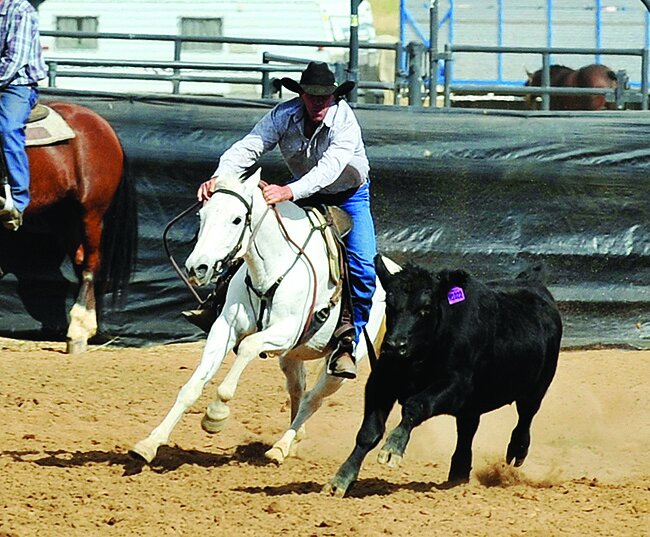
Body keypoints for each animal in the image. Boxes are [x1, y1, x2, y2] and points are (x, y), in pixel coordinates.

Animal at [0, 102, 137, 353]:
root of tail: (104, 127)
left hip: (91, 212)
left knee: (91, 263)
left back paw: (78, 331)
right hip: (63, 214)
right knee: (80, 261)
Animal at [130, 168, 387, 466]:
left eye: (236, 219)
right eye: (202, 216)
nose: (197, 267)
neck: (273, 268)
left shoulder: (285, 332)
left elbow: (248, 347)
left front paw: (215, 415)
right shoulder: (225, 328)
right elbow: (192, 387)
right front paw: (149, 444)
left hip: (338, 367)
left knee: (313, 399)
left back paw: (280, 447)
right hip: (291, 356)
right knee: (298, 389)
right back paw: (293, 442)